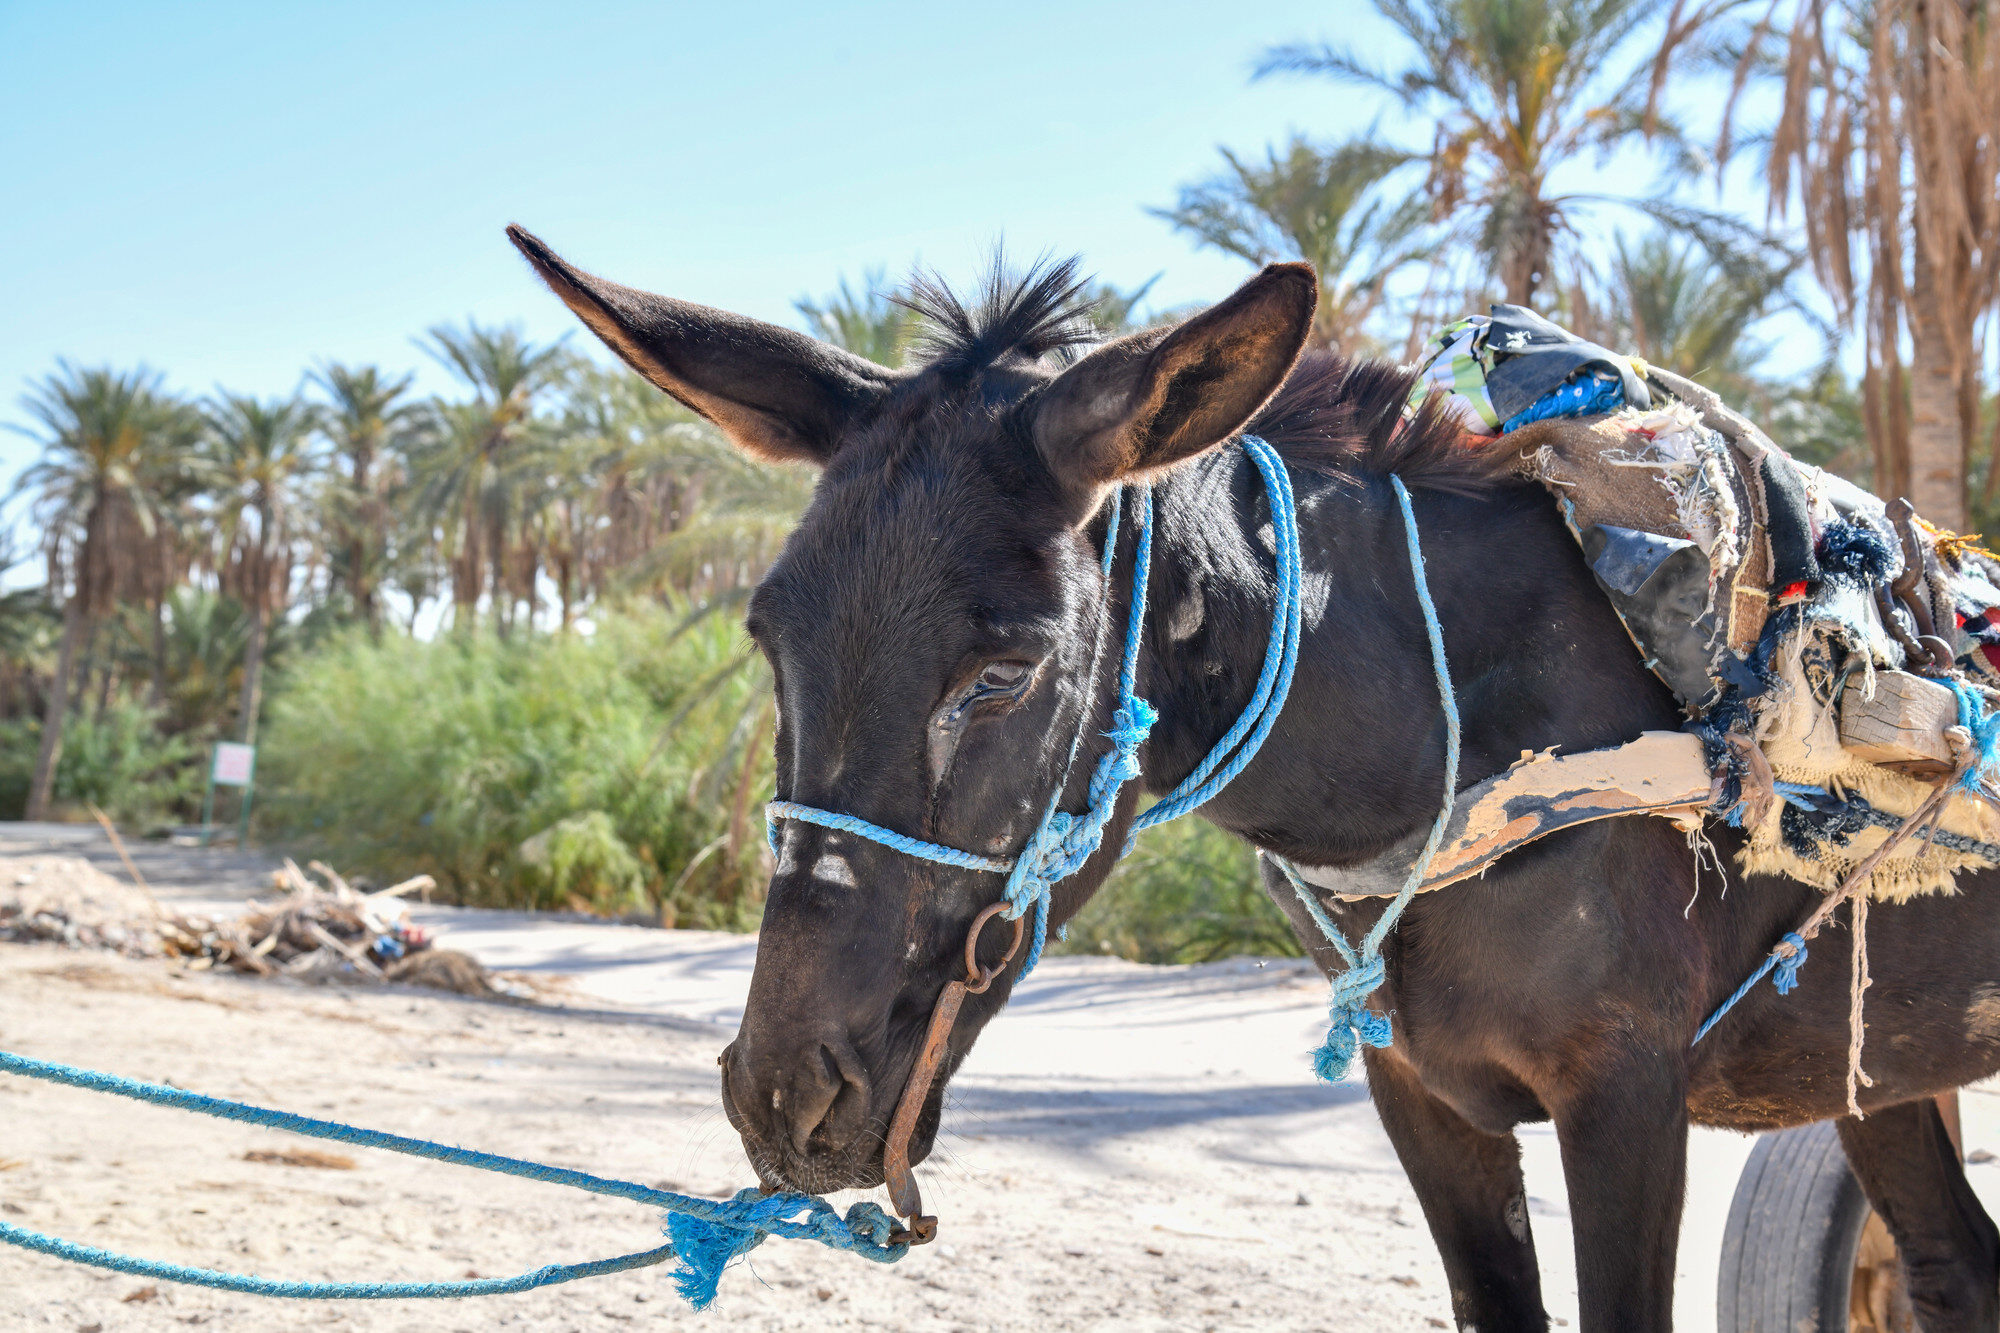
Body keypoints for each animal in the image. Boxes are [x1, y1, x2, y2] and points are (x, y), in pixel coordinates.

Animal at [507, 225, 2000, 1332]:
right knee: (1951, 1265)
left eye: (1001, 674)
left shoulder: (1625, 1093)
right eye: (769, 640)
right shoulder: (1424, 1095)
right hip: (1877, 1064)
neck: (1468, 737)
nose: (784, 1101)